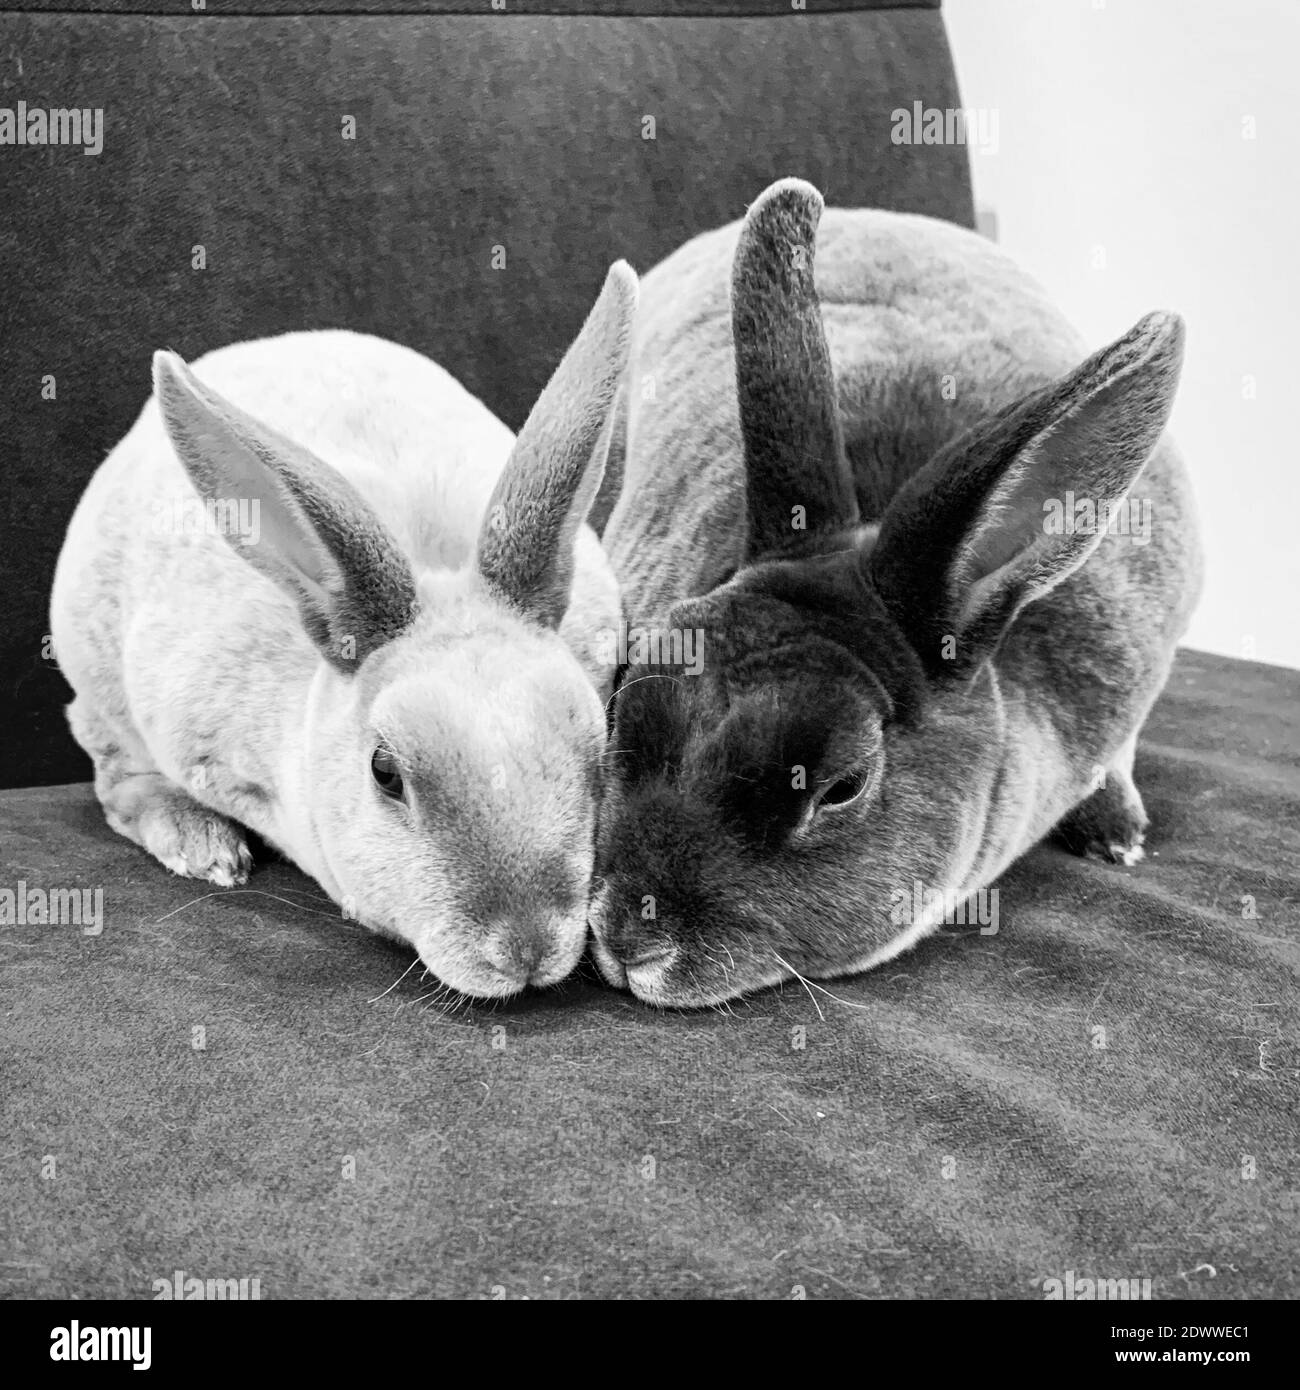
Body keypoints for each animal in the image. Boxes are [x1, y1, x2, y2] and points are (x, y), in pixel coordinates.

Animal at [49, 262, 638, 998]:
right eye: (385, 772)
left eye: (597, 750)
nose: (525, 952)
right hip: (99, 678)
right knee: (111, 769)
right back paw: (199, 843)